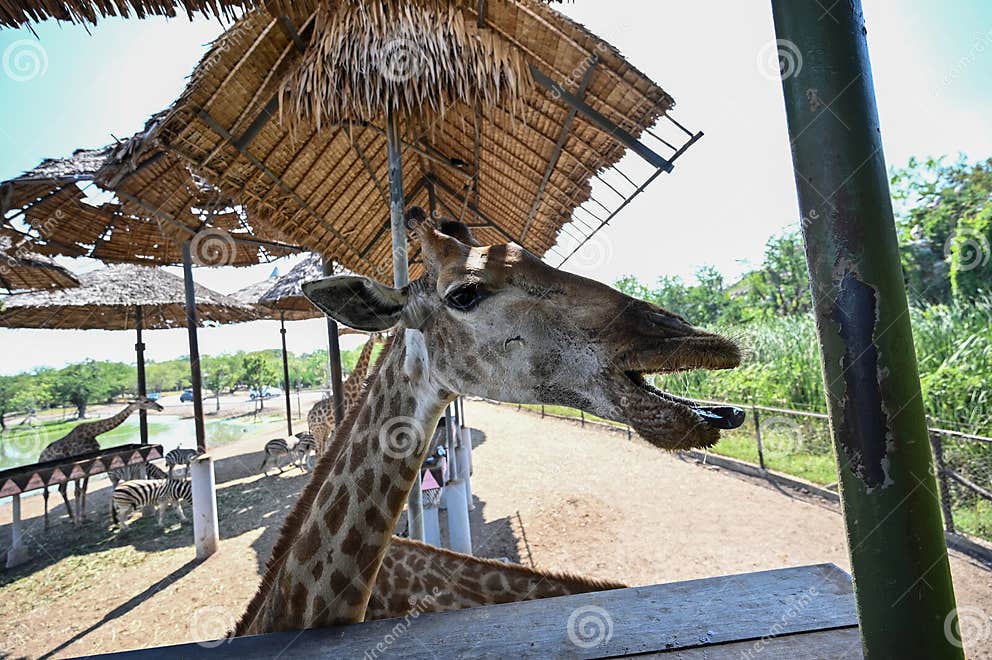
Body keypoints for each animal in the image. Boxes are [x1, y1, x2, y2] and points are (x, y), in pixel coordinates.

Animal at [39, 396, 163, 527]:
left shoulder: (88, 463)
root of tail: (41, 456)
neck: (92, 433)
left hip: (61, 476)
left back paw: (71, 517)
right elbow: (77, 491)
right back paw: (47, 524)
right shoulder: (77, 464)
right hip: (47, 477)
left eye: (150, 399)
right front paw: (79, 522)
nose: (160, 407)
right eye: (146, 401)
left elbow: (84, 488)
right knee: (46, 493)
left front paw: (83, 517)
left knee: (61, 489)